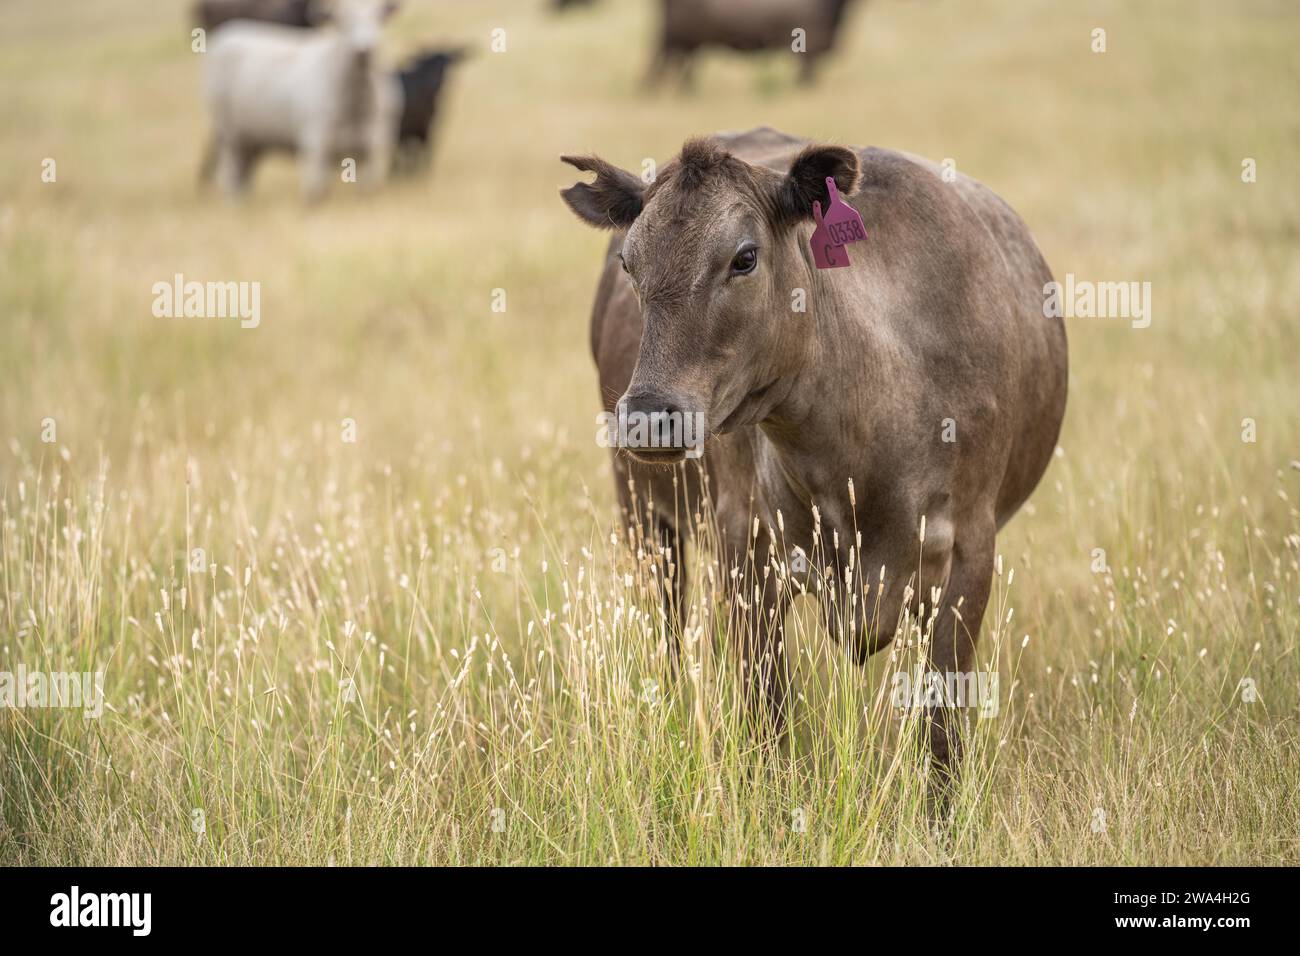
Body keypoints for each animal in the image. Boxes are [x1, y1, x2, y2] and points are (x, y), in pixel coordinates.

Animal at [202, 0, 401, 202]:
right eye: (341, 21)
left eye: (378, 18)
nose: (364, 51)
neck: (355, 105)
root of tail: (230, 31)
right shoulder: (314, 148)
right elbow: (316, 193)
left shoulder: (371, 150)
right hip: (228, 132)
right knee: (230, 177)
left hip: (252, 139)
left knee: (243, 176)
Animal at [560, 127, 1068, 798]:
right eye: (630, 263)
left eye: (745, 257)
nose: (648, 415)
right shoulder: (745, 543)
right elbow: (766, 711)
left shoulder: (969, 552)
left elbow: (941, 728)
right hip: (644, 510)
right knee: (665, 630)